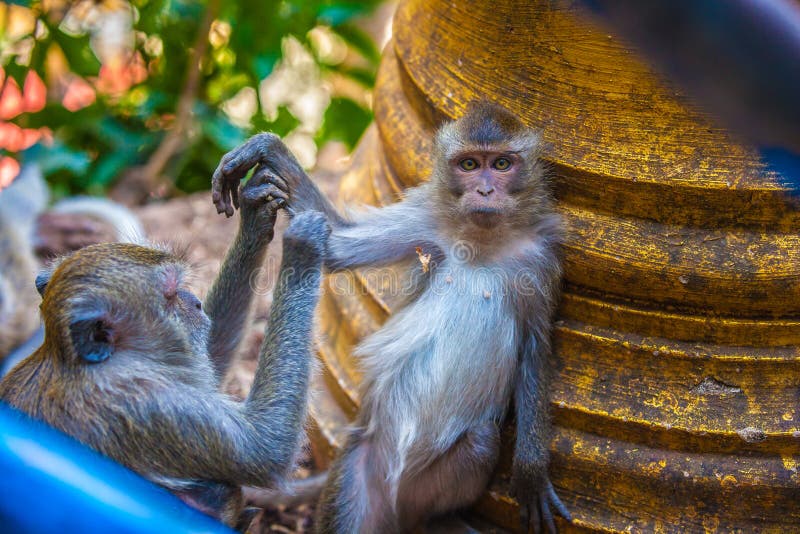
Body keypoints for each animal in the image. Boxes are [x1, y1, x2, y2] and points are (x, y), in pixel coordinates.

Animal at [0, 167, 331, 529]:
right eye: (171, 295)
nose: (197, 303)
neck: (74, 360)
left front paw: (254, 216)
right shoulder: (149, 405)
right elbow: (267, 447)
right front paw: (302, 249)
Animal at [211, 100, 572, 533]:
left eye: (502, 164)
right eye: (469, 164)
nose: (485, 190)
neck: (483, 241)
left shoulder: (542, 259)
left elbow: (535, 350)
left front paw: (531, 473)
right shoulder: (425, 219)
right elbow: (336, 246)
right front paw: (268, 150)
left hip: (425, 486)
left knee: (481, 441)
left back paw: (435, 520)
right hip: (356, 469)